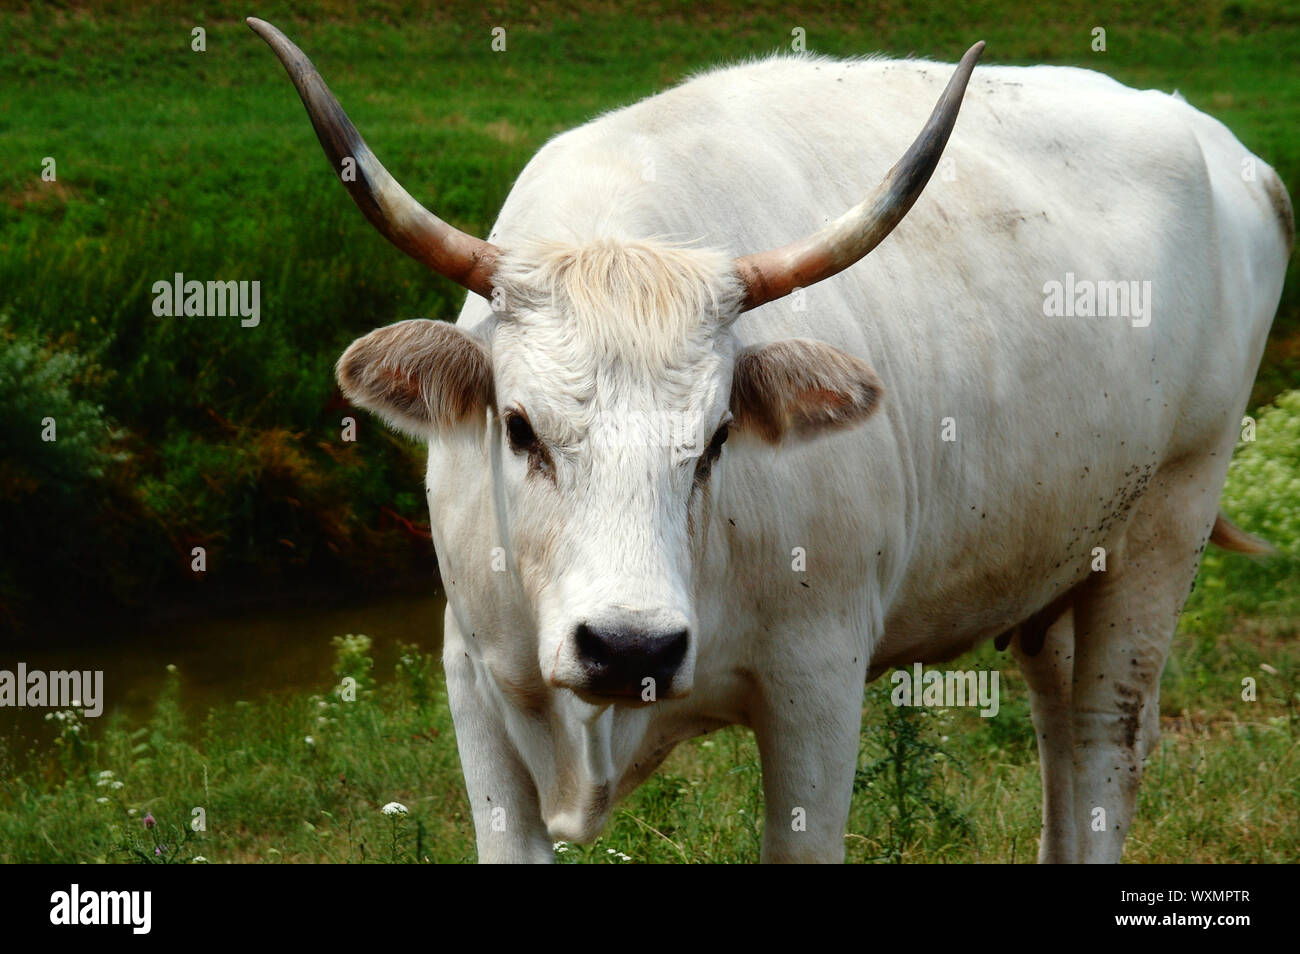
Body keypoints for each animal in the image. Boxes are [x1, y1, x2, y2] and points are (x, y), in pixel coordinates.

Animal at [249, 18, 1292, 863]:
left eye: (717, 439)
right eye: (517, 426)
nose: (629, 648)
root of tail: (1223, 148)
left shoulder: (818, 688)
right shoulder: (474, 685)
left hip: (1166, 523)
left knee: (1106, 736)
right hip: (1064, 554)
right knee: (1059, 729)